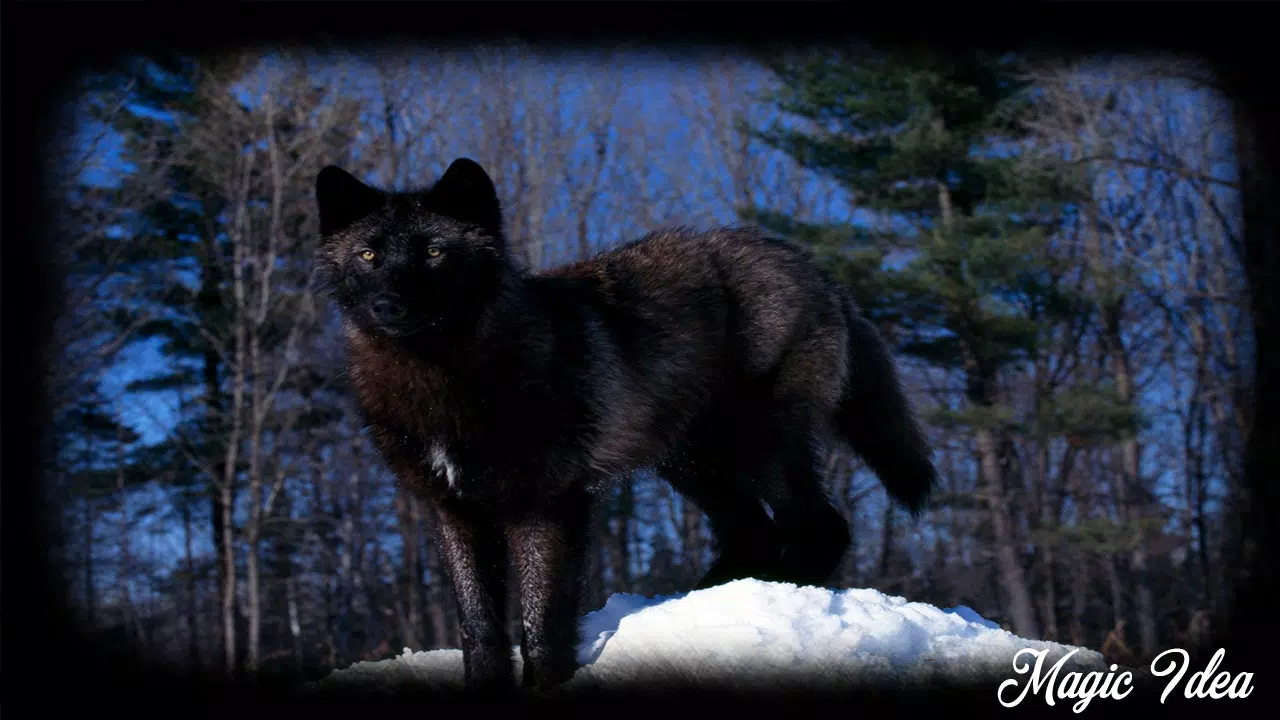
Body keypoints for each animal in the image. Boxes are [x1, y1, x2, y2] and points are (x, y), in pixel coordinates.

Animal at [313, 158, 938, 692]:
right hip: (691, 462)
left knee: (823, 527)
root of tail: (816, 269)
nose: (388, 306)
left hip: (759, 447)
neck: (446, 380)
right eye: (368, 255)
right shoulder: (455, 512)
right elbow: (480, 628)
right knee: (753, 532)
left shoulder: (548, 506)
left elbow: (540, 626)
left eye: (435, 251)